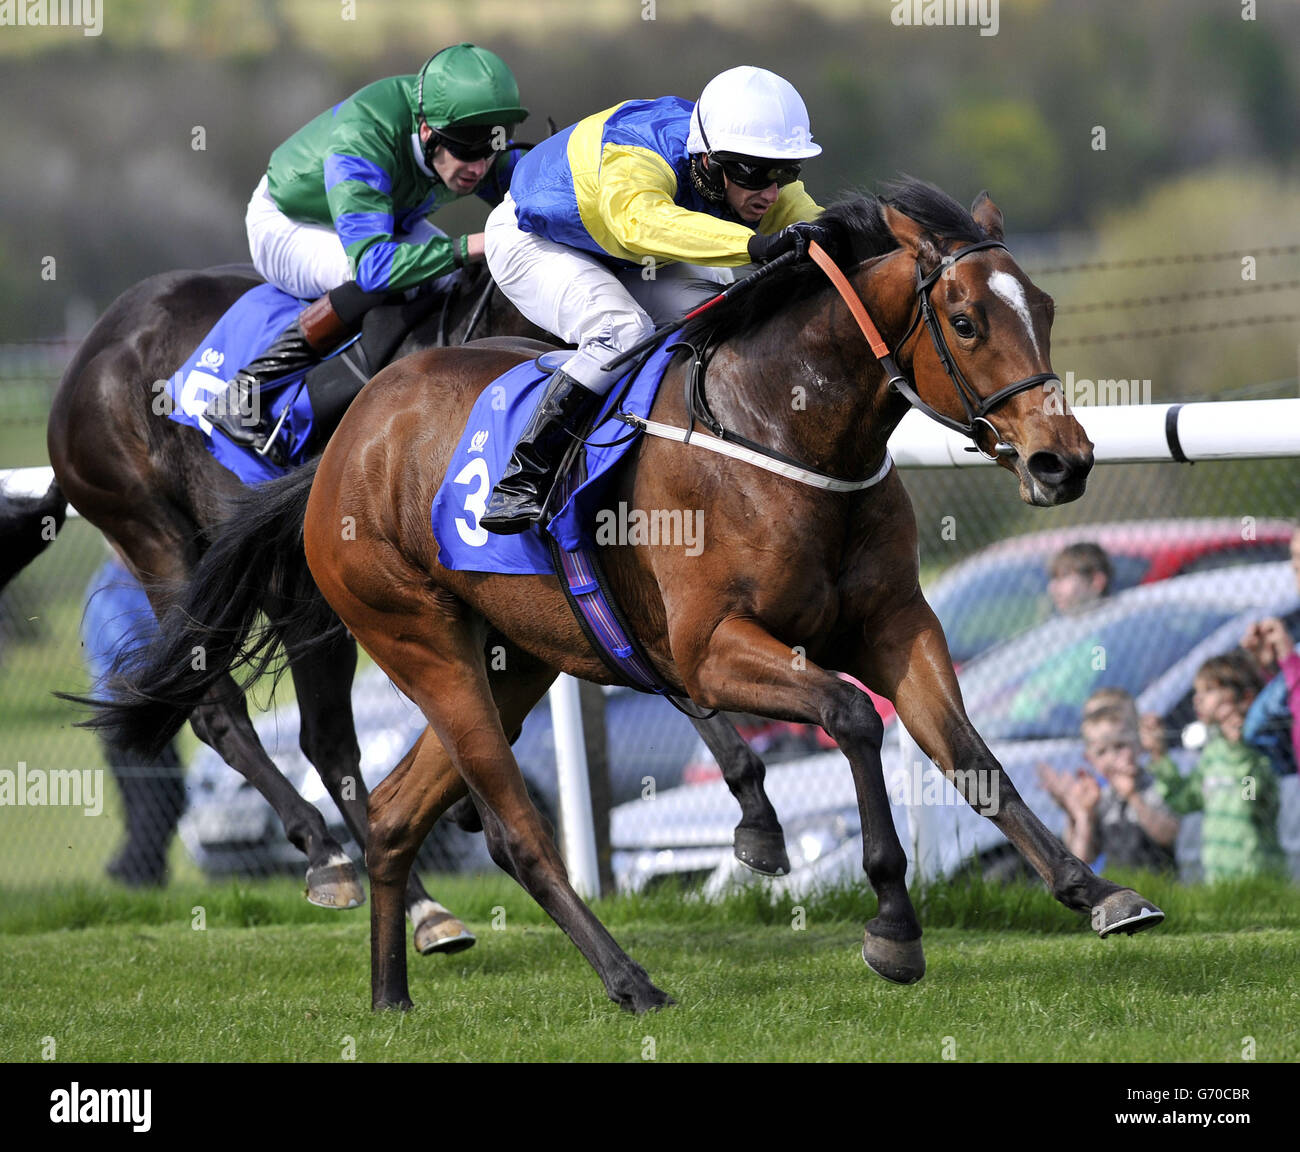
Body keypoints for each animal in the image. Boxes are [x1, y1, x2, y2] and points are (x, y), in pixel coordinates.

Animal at [89, 179, 1166, 1013]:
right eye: (969, 321)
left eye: (1045, 308)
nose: (1061, 461)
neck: (777, 430)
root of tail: (341, 445)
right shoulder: (710, 648)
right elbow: (851, 718)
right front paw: (892, 926)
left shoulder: (897, 623)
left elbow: (969, 754)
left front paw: (1097, 892)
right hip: (419, 640)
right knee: (516, 832)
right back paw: (627, 978)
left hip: (511, 661)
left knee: (396, 812)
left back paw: (392, 991)